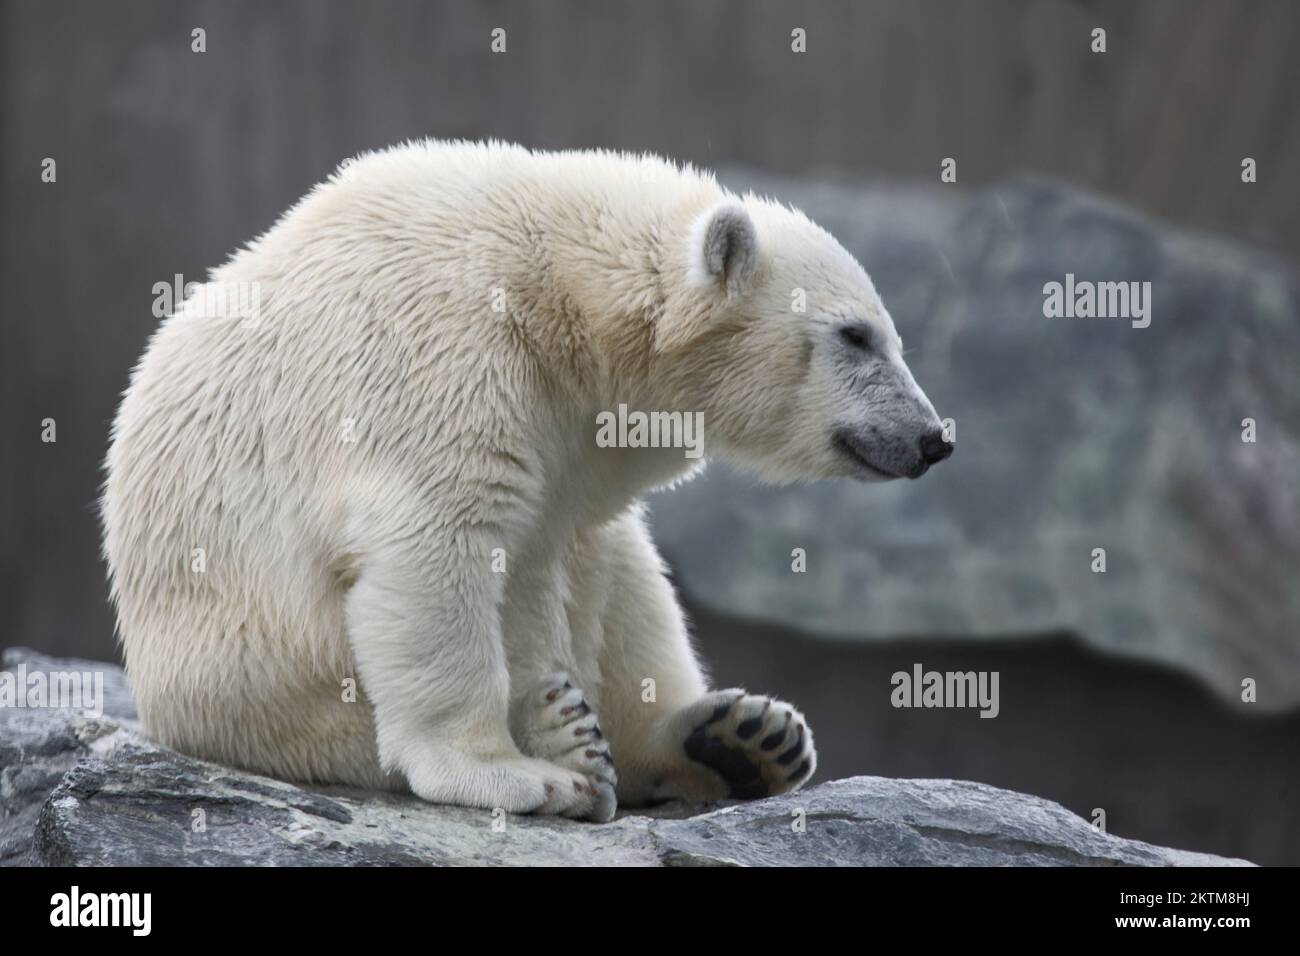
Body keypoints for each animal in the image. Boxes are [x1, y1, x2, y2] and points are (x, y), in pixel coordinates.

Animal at [101, 141, 952, 822]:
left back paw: (743, 738)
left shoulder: (569, 432)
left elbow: (540, 562)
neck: (556, 284)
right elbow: (438, 537)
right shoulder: (444, 349)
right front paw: (519, 772)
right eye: (855, 336)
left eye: (887, 335)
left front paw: (567, 731)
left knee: (625, 569)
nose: (933, 436)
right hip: (266, 689)